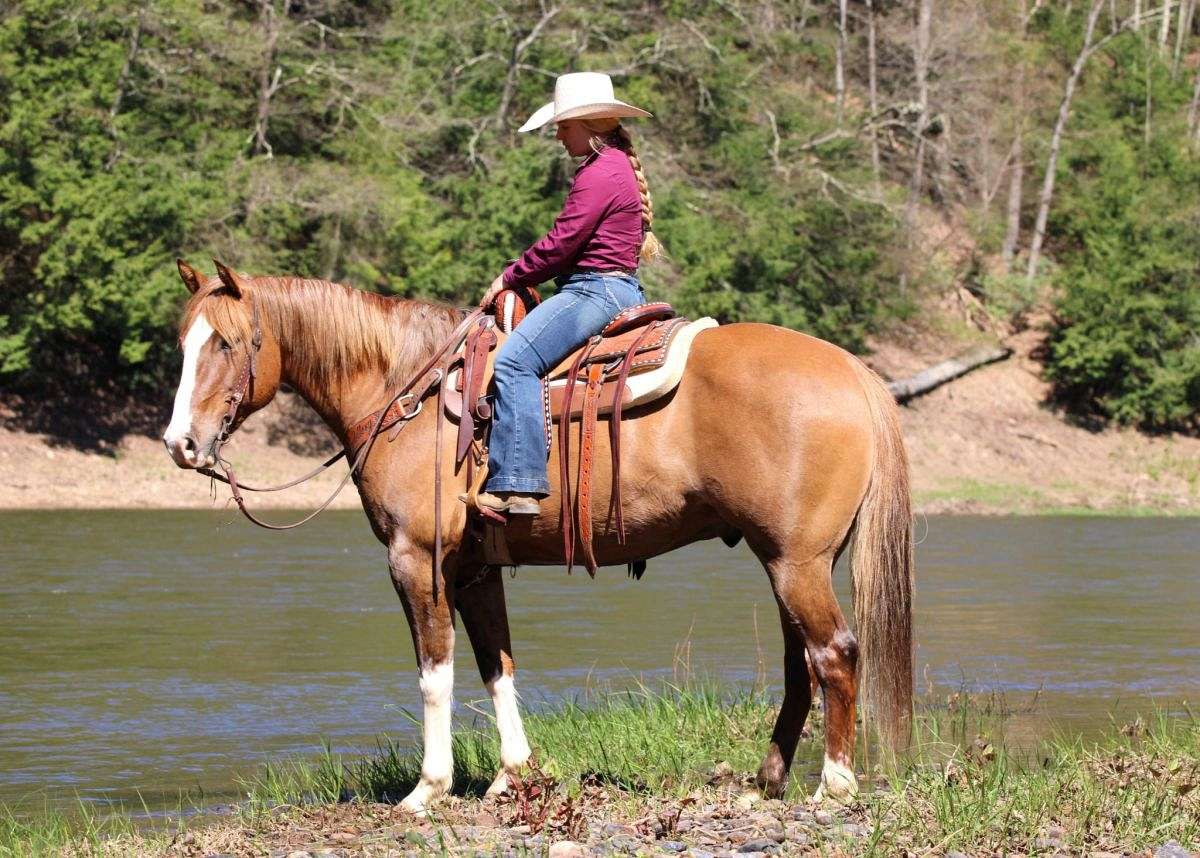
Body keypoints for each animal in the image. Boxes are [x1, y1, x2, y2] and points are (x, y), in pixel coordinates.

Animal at [162, 259, 913, 813]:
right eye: (181, 344)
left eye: (226, 342)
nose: (180, 444)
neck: (406, 392)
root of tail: (853, 371)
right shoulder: (474, 570)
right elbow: (498, 665)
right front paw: (512, 775)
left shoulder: (416, 561)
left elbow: (435, 673)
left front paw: (426, 790)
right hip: (788, 560)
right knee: (800, 664)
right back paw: (768, 780)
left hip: (797, 562)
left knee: (836, 654)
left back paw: (833, 785)